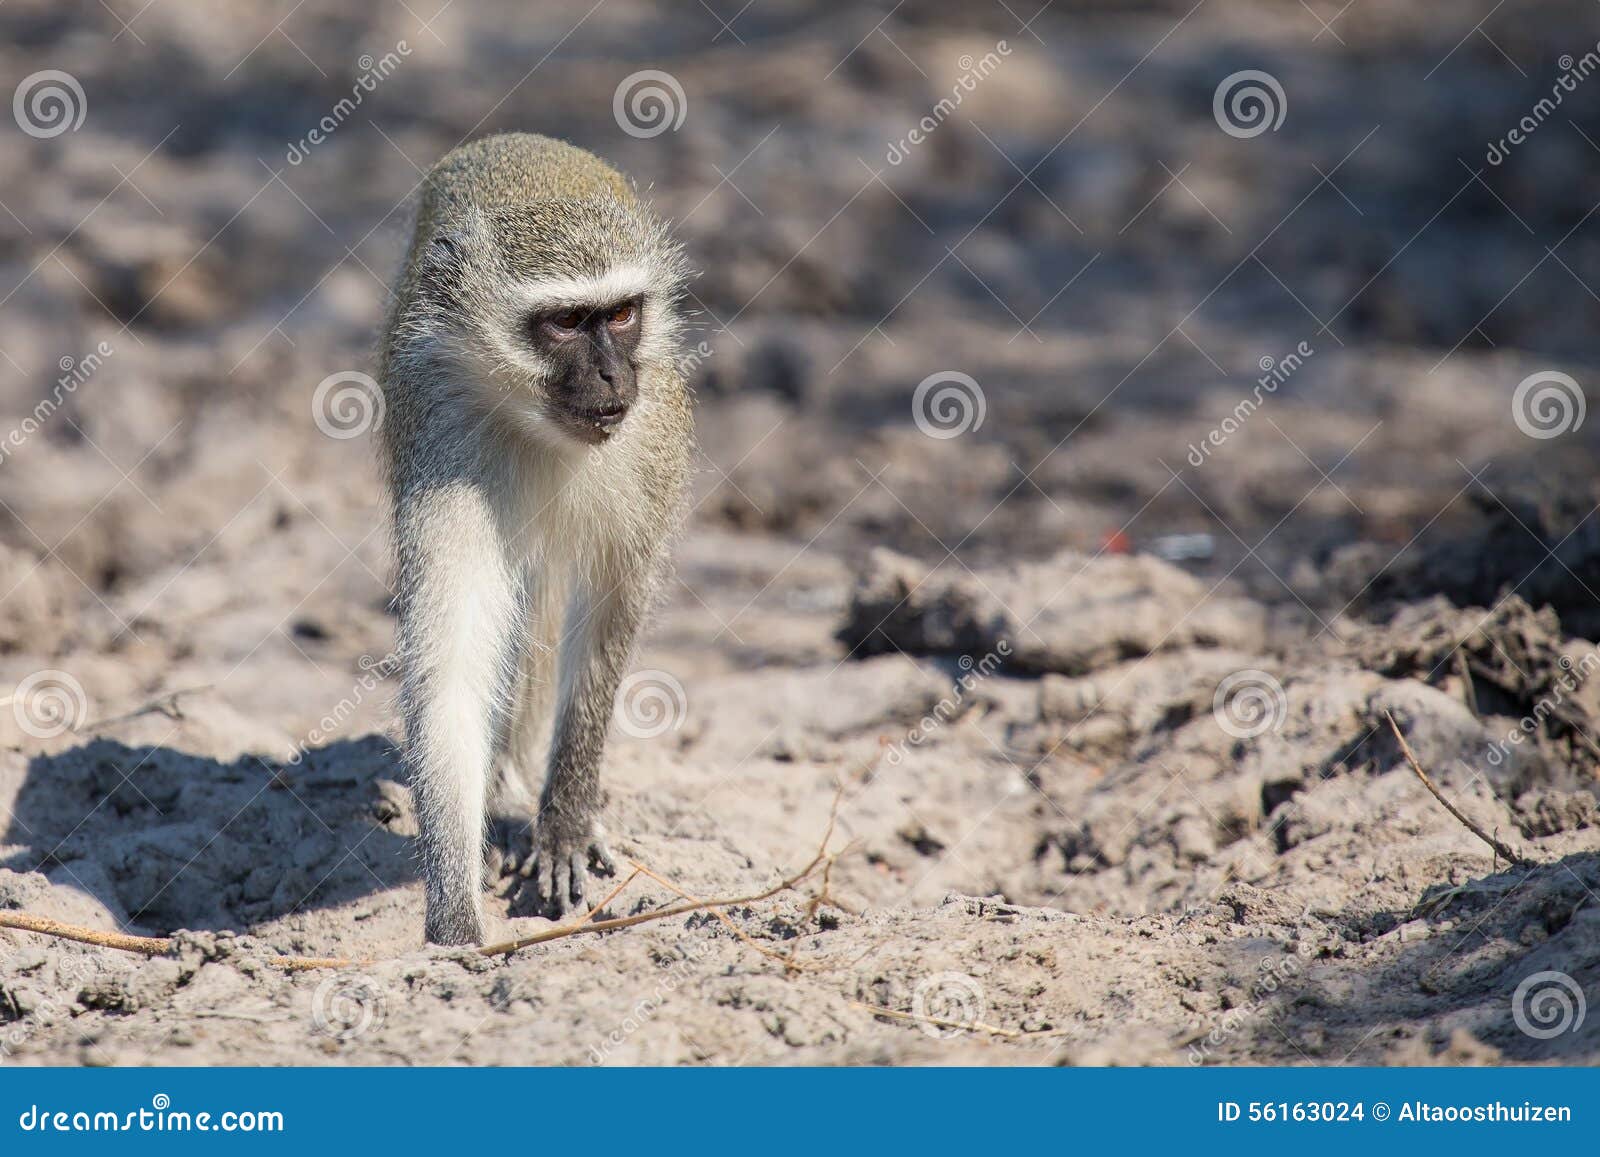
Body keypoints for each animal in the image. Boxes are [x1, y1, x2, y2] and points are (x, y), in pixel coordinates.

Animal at [377, 132, 692, 946]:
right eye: (565, 324)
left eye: (621, 314)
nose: (612, 376)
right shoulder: (440, 424)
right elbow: (453, 660)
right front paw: (454, 920)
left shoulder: (652, 433)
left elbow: (613, 608)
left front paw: (565, 821)